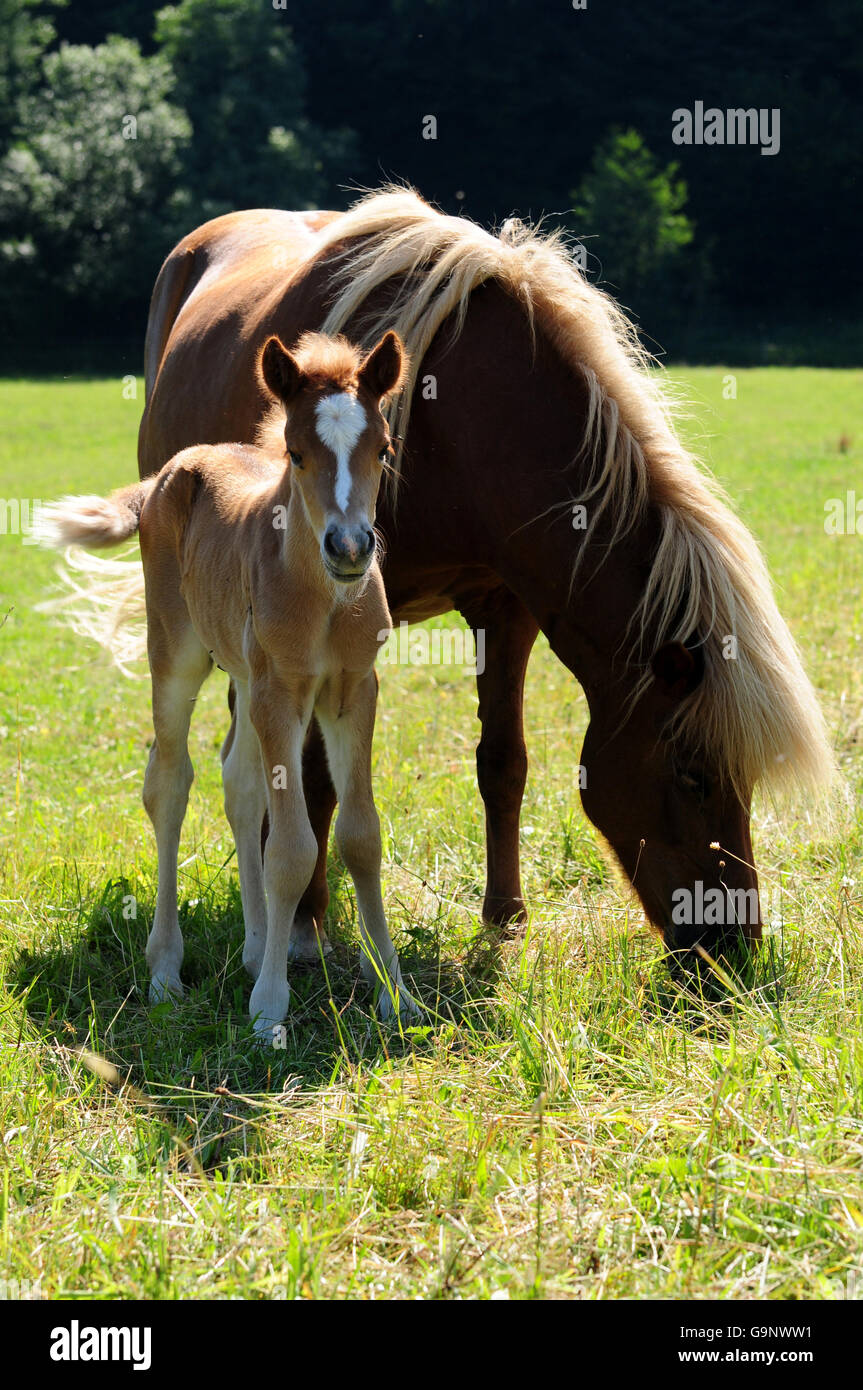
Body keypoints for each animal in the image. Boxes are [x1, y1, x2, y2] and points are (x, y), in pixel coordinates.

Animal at [39, 330, 421, 1037]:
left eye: (383, 449)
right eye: (296, 453)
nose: (351, 548)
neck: (326, 599)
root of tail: (165, 476)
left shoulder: (355, 691)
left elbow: (360, 836)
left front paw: (395, 994)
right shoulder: (280, 694)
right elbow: (293, 850)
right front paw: (270, 1009)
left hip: (242, 679)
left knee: (238, 784)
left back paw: (252, 946)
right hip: (179, 655)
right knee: (169, 782)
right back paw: (165, 969)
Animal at [126, 186, 832, 972]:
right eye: (690, 773)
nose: (734, 948)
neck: (461, 421)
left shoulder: (506, 609)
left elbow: (502, 763)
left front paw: (505, 916)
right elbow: (310, 779)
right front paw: (306, 924)